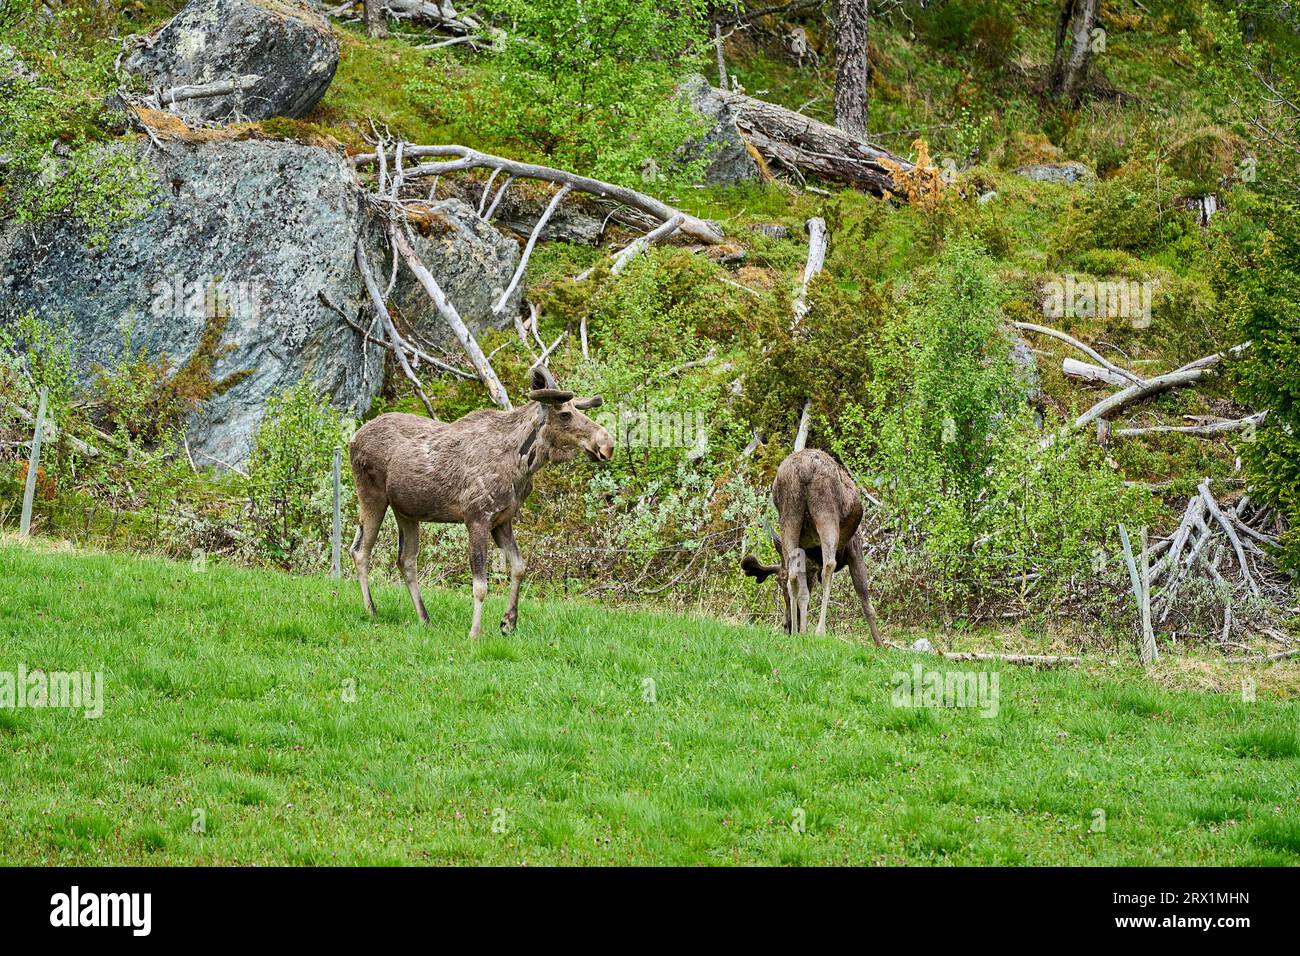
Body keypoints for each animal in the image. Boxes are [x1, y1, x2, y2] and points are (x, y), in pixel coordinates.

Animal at [348, 366, 614, 638]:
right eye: (564, 414)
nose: (607, 444)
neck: (520, 466)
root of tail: (353, 438)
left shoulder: (503, 520)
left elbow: (519, 567)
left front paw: (509, 622)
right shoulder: (477, 518)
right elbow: (480, 585)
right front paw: (474, 633)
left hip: (406, 512)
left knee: (405, 560)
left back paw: (425, 618)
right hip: (372, 495)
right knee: (360, 551)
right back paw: (372, 610)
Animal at [740, 448, 882, 644]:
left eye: (780, 585)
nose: (786, 625)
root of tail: (803, 470)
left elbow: (804, 591)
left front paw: (801, 630)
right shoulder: (855, 548)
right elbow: (866, 603)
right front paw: (880, 645)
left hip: (789, 514)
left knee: (793, 573)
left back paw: (799, 632)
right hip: (826, 511)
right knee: (829, 564)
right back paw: (819, 631)